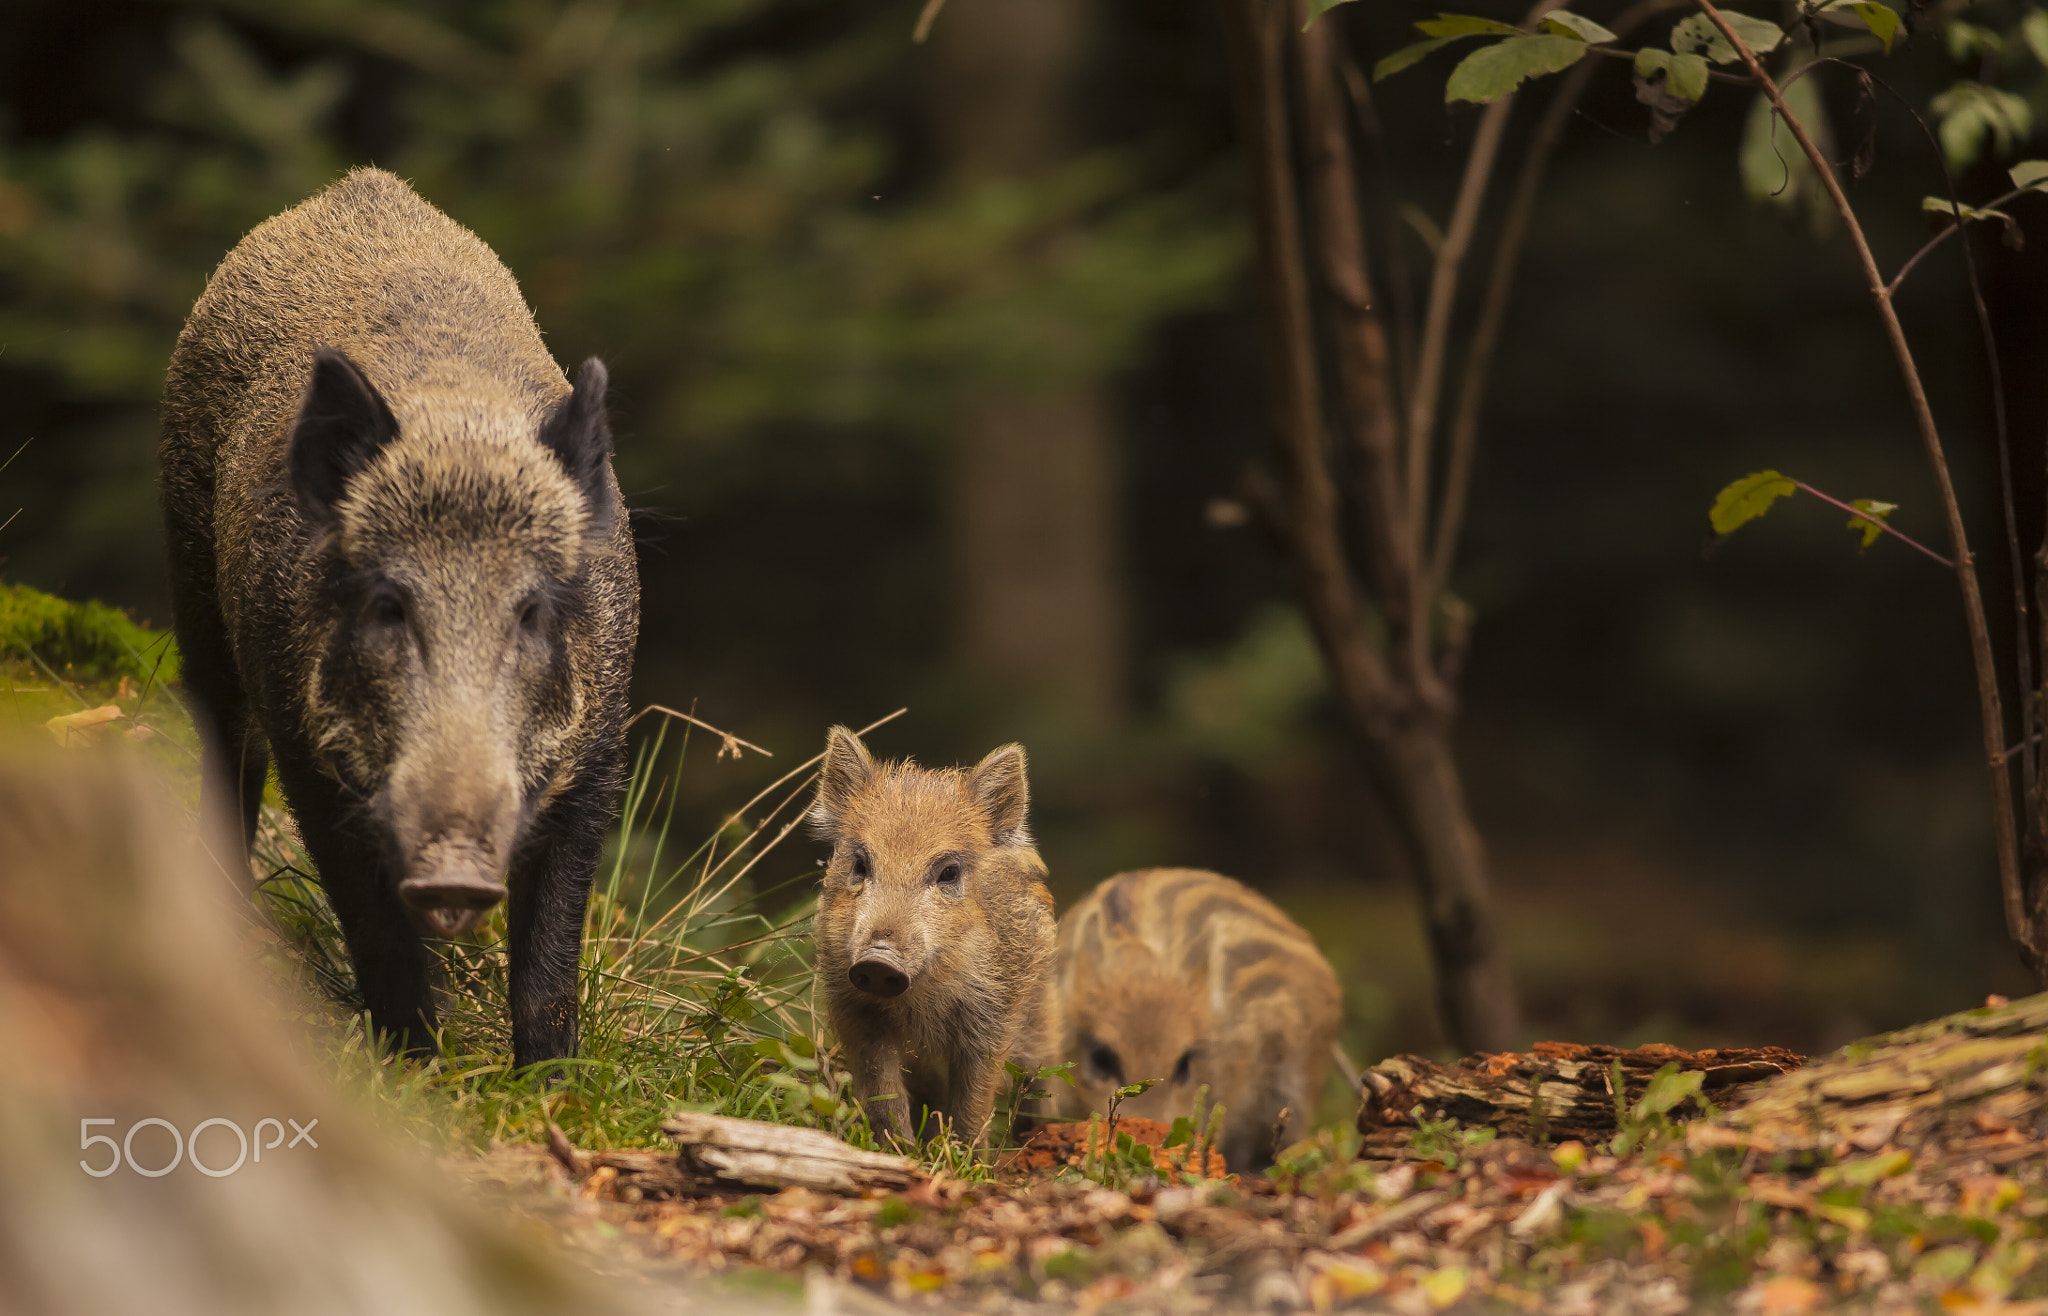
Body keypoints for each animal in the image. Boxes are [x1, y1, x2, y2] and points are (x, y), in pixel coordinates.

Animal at [158, 167, 638, 1068]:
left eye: (531, 609)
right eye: (387, 602)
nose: (454, 866)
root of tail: (359, 187)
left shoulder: (599, 752)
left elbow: (553, 950)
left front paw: (548, 1080)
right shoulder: (307, 749)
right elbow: (374, 927)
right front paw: (416, 1068)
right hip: (190, 568)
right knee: (223, 742)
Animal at [809, 726, 1058, 1148]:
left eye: (949, 872)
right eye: (860, 863)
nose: (879, 960)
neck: (921, 997)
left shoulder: (994, 1015)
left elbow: (974, 1102)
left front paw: (965, 1156)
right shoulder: (854, 1007)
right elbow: (883, 1093)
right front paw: (899, 1151)